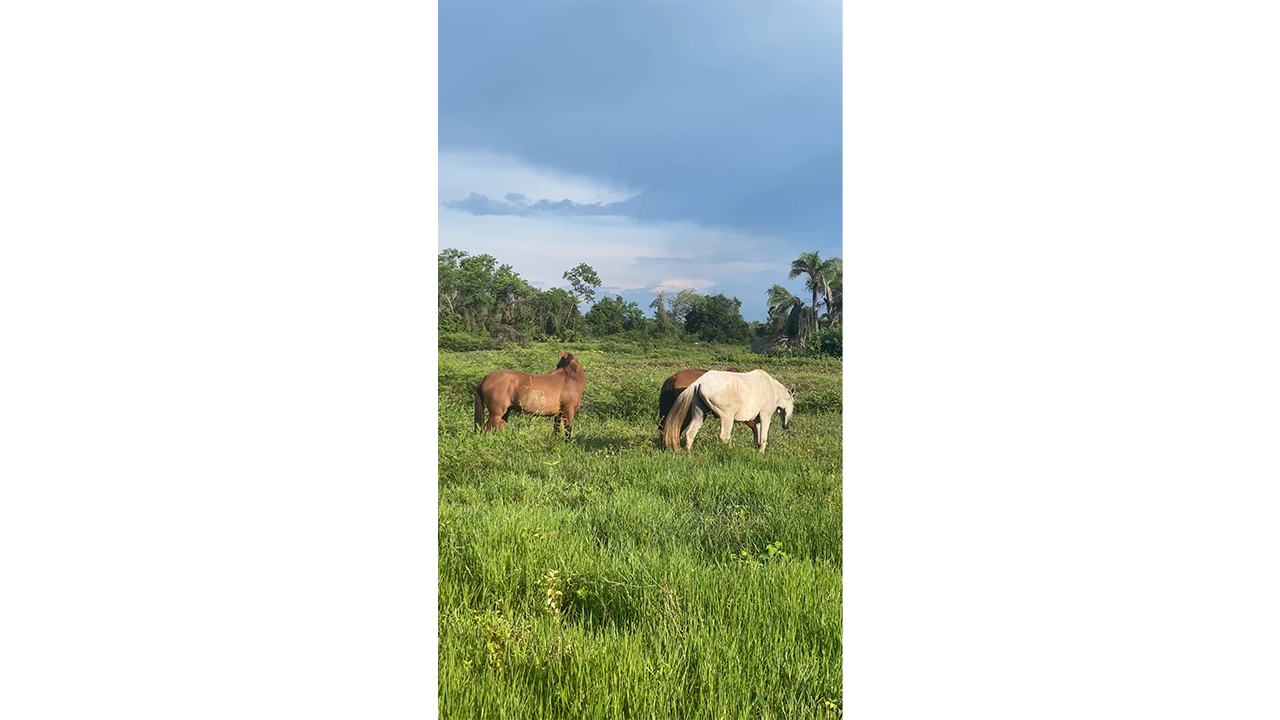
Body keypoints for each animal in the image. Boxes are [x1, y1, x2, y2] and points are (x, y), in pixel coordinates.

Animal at [662, 369, 794, 453]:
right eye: (793, 403)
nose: (786, 425)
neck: (772, 389)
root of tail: (698, 382)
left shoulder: (757, 420)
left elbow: (758, 434)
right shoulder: (765, 416)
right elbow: (763, 436)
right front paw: (761, 452)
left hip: (699, 415)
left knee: (690, 433)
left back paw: (688, 452)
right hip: (727, 418)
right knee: (724, 437)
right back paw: (731, 451)